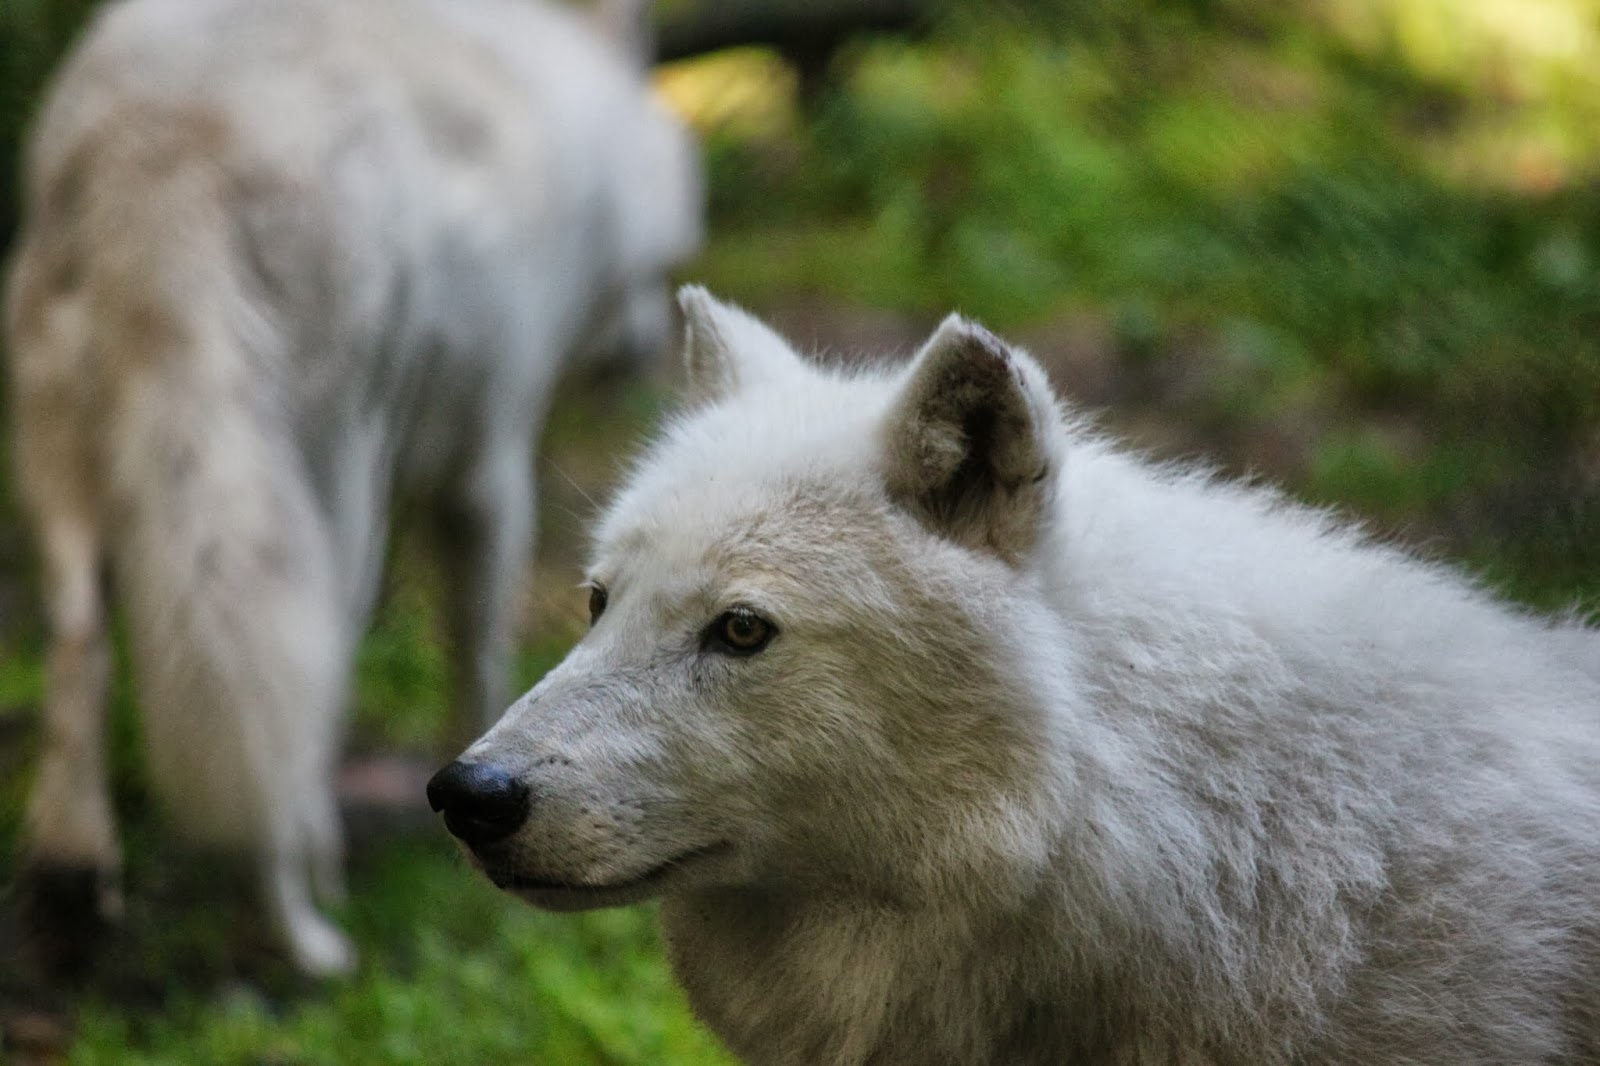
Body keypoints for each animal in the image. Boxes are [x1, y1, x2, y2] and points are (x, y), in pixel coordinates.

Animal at [4, 0, 701, 976]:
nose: (646, 349)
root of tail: (163, 144)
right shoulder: (488, 463)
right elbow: (478, 649)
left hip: (69, 472)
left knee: (79, 649)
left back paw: (73, 882)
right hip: (331, 497)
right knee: (295, 691)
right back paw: (300, 922)